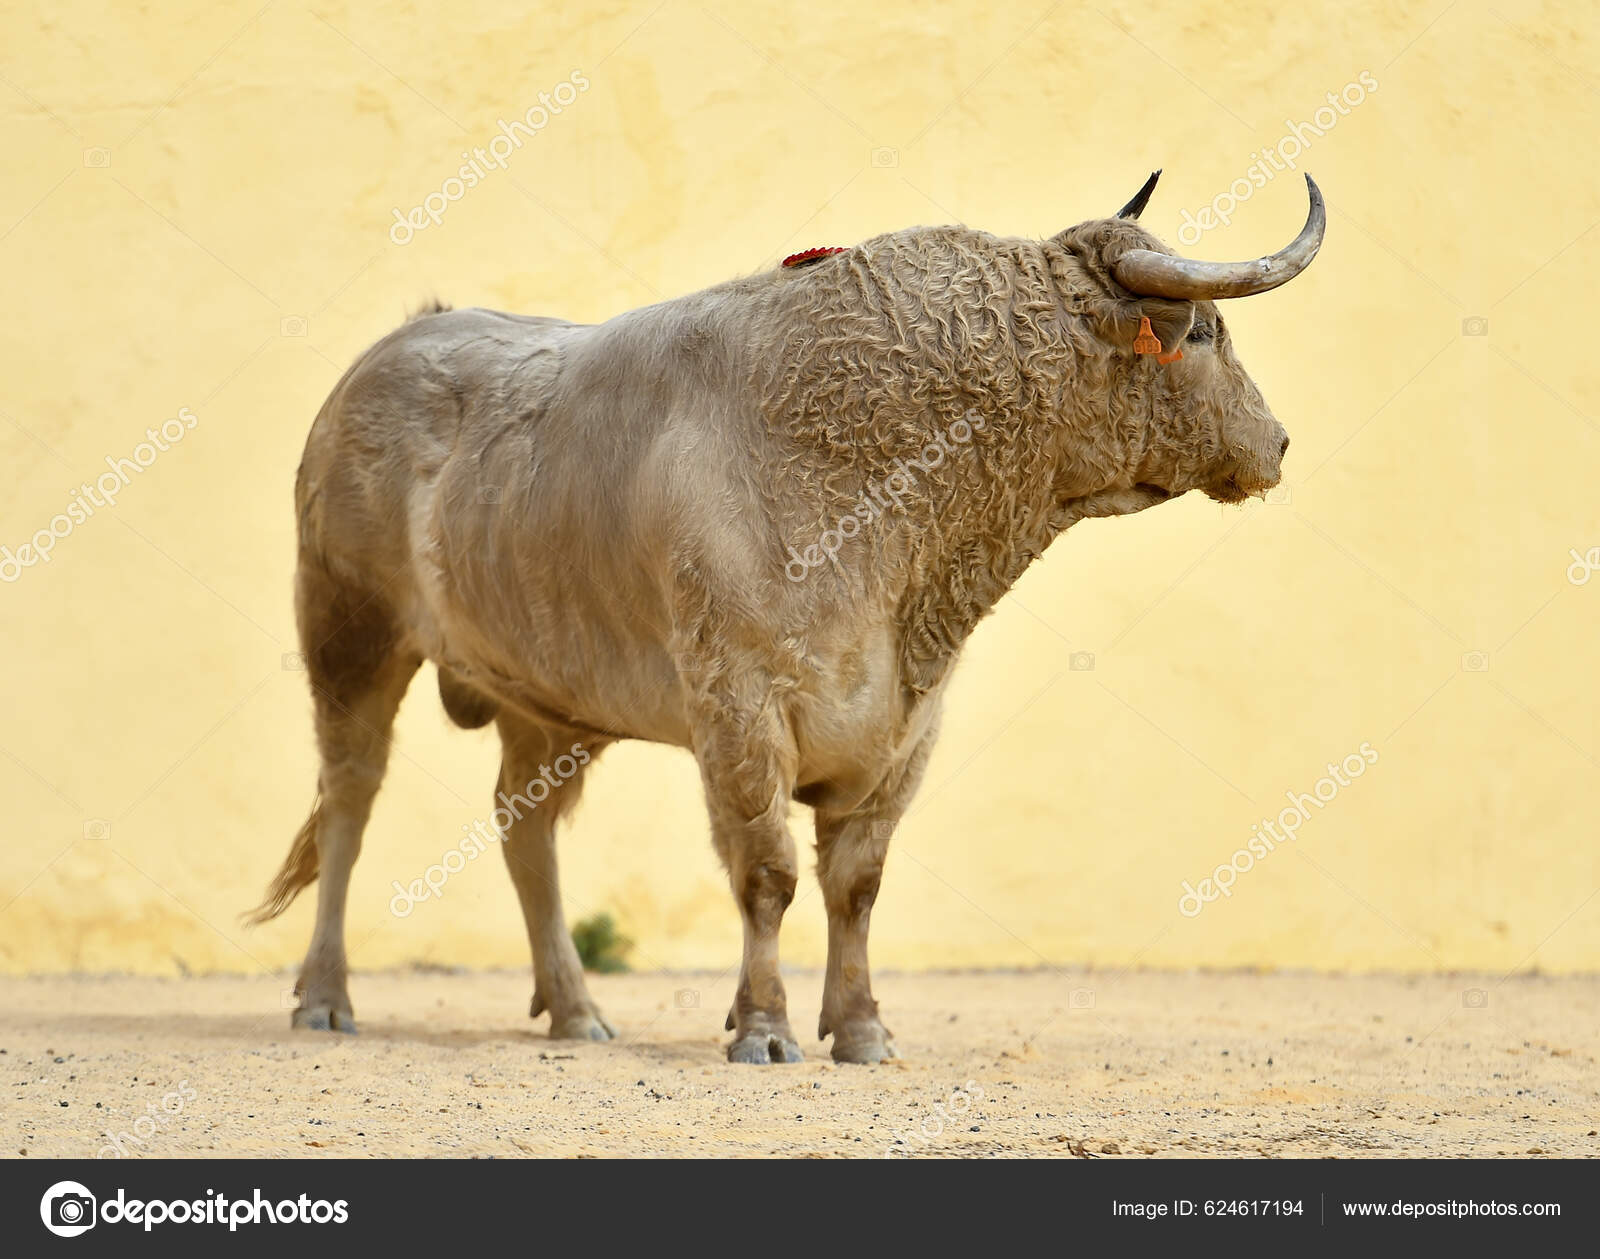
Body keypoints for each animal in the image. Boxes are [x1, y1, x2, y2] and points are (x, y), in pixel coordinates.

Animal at [251, 171, 1324, 1063]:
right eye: (1206, 334)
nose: (1276, 442)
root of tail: (394, 348)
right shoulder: (739, 704)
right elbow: (766, 871)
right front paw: (763, 1027)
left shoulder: (906, 725)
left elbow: (856, 882)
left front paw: (861, 1028)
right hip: (348, 636)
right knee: (348, 802)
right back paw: (326, 997)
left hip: (545, 699)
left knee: (526, 831)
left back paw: (576, 1009)